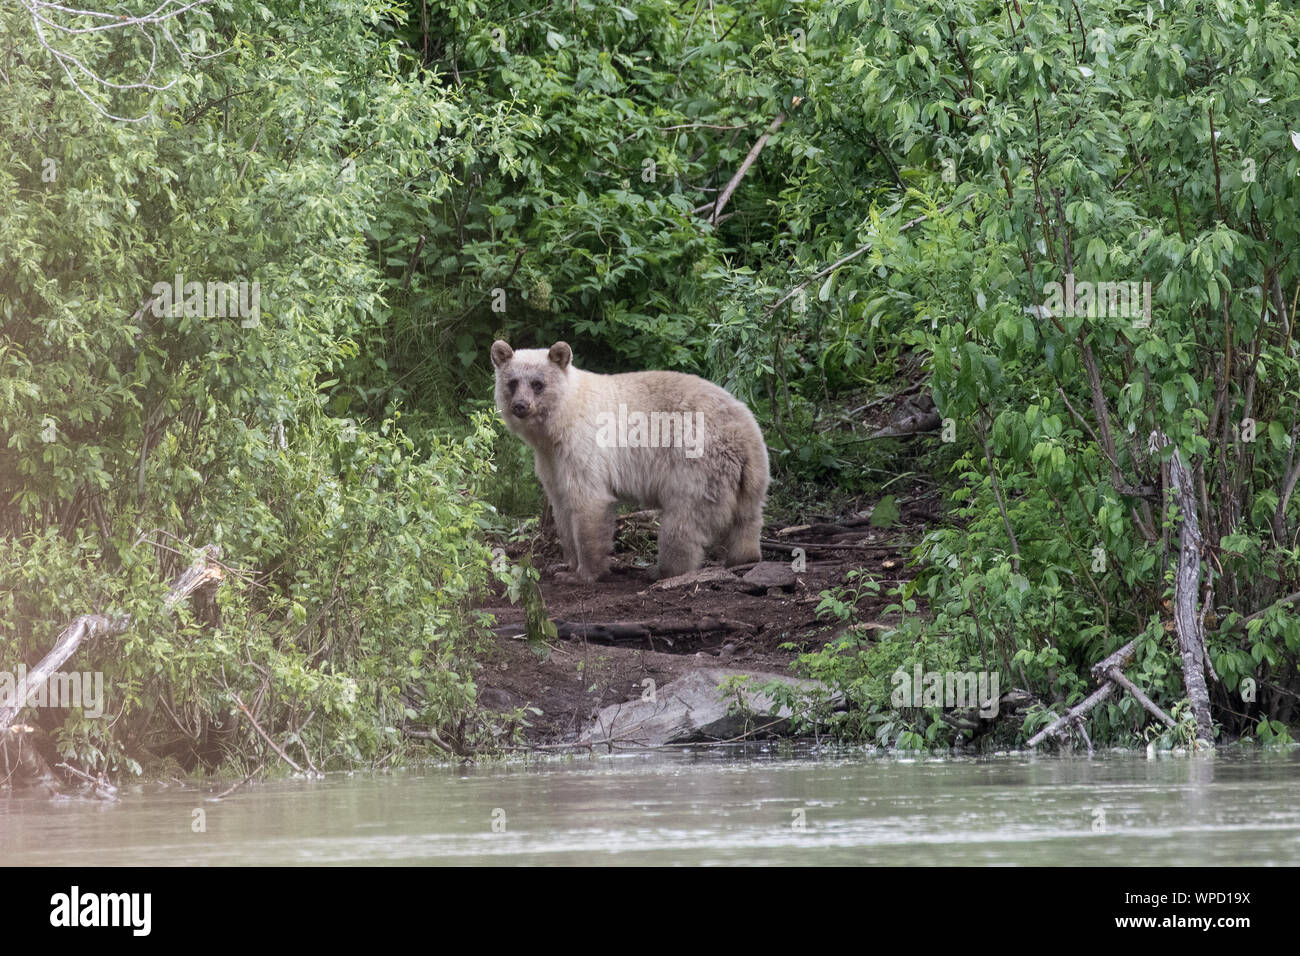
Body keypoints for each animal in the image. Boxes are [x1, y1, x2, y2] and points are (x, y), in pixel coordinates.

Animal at [491, 340, 769, 584]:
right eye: (512, 382)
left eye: (538, 384)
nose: (520, 405)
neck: (558, 423)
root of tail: (743, 436)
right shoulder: (551, 458)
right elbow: (561, 503)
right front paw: (564, 564)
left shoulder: (584, 446)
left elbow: (588, 501)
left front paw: (583, 573)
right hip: (752, 476)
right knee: (747, 518)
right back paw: (744, 556)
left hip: (695, 464)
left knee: (683, 520)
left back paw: (663, 570)